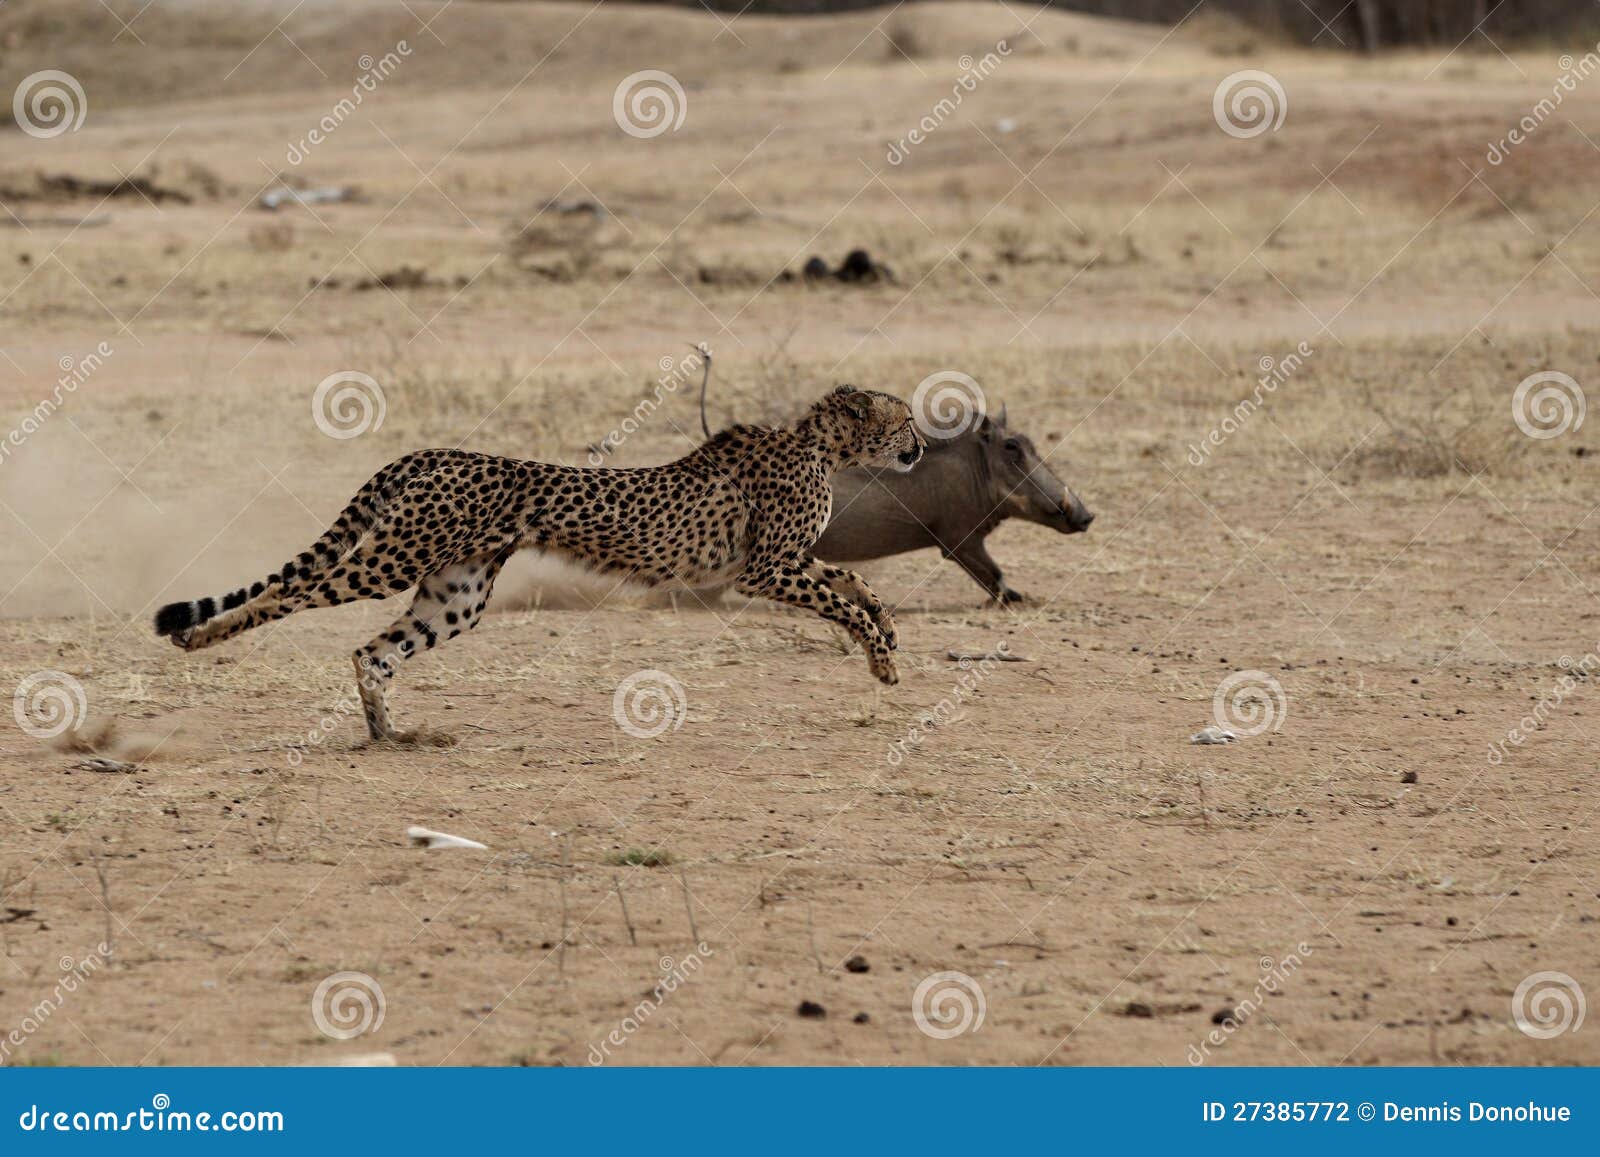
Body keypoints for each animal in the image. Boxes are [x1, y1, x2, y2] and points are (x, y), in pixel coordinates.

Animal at [153, 385, 927, 742]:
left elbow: (856, 584)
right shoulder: (764, 569)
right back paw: (197, 635)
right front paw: (880, 658)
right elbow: (842, 598)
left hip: (457, 593)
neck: (824, 449)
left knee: (371, 650)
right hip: (394, 558)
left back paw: (391, 735)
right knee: (291, 589)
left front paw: (888, 644)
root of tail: (433, 451)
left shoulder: (789, 561)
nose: (921, 448)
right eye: (905, 419)